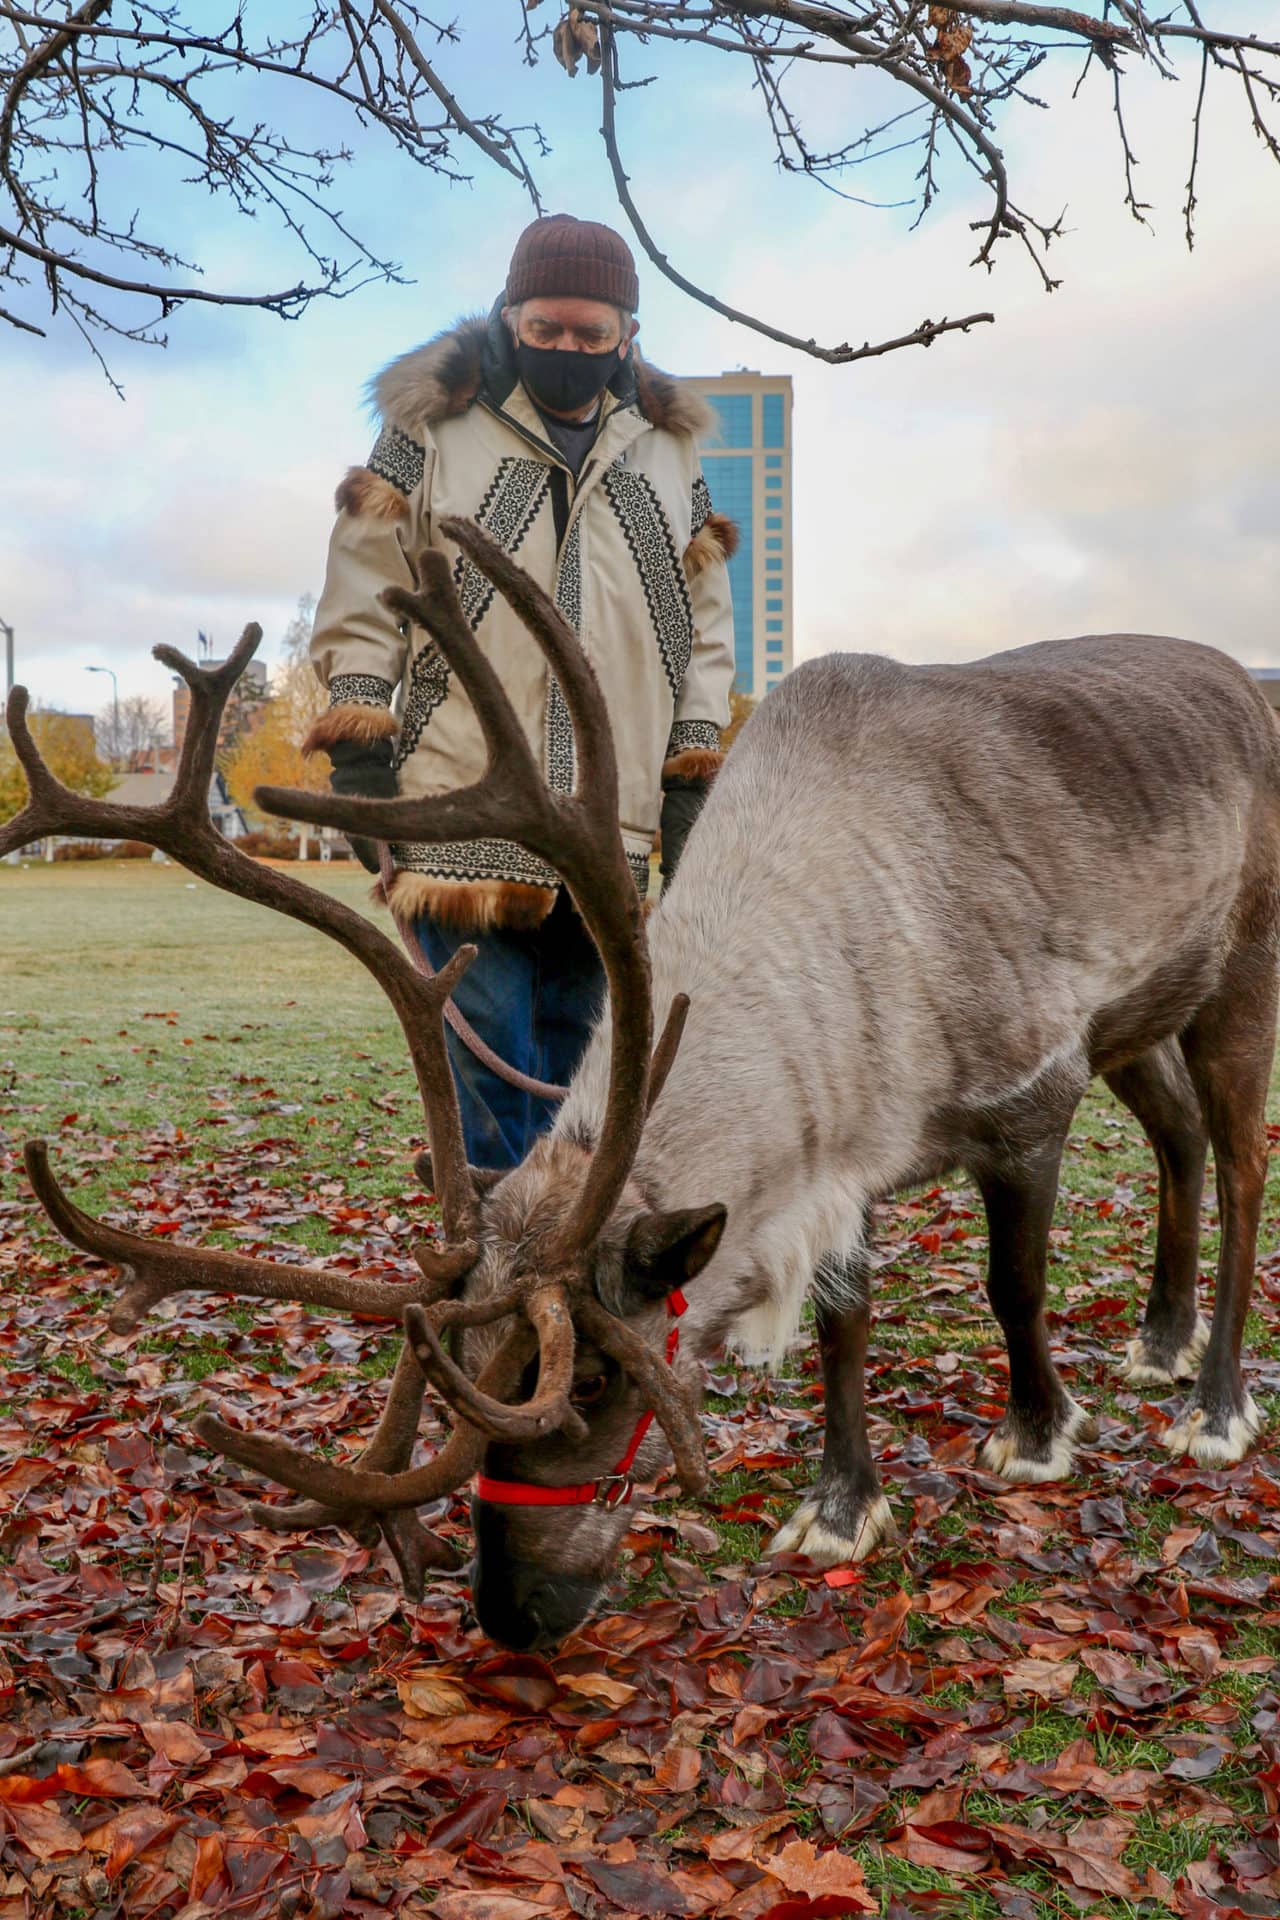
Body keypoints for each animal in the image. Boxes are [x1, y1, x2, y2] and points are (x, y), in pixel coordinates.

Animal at [7, 518, 1279, 1654]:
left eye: (583, 1392)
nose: (509, 1618)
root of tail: (1239, 677)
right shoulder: (842, 1151)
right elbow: (842, 1321)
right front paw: (840, 1507)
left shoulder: (1027, 1091)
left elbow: (1010, 1286)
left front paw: (1035, 1436)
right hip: (1139, 1023)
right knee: (1177, 1142)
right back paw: (1159, 1342)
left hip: (1236, 974)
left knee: (1237, 1164)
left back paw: (1211, 1405)